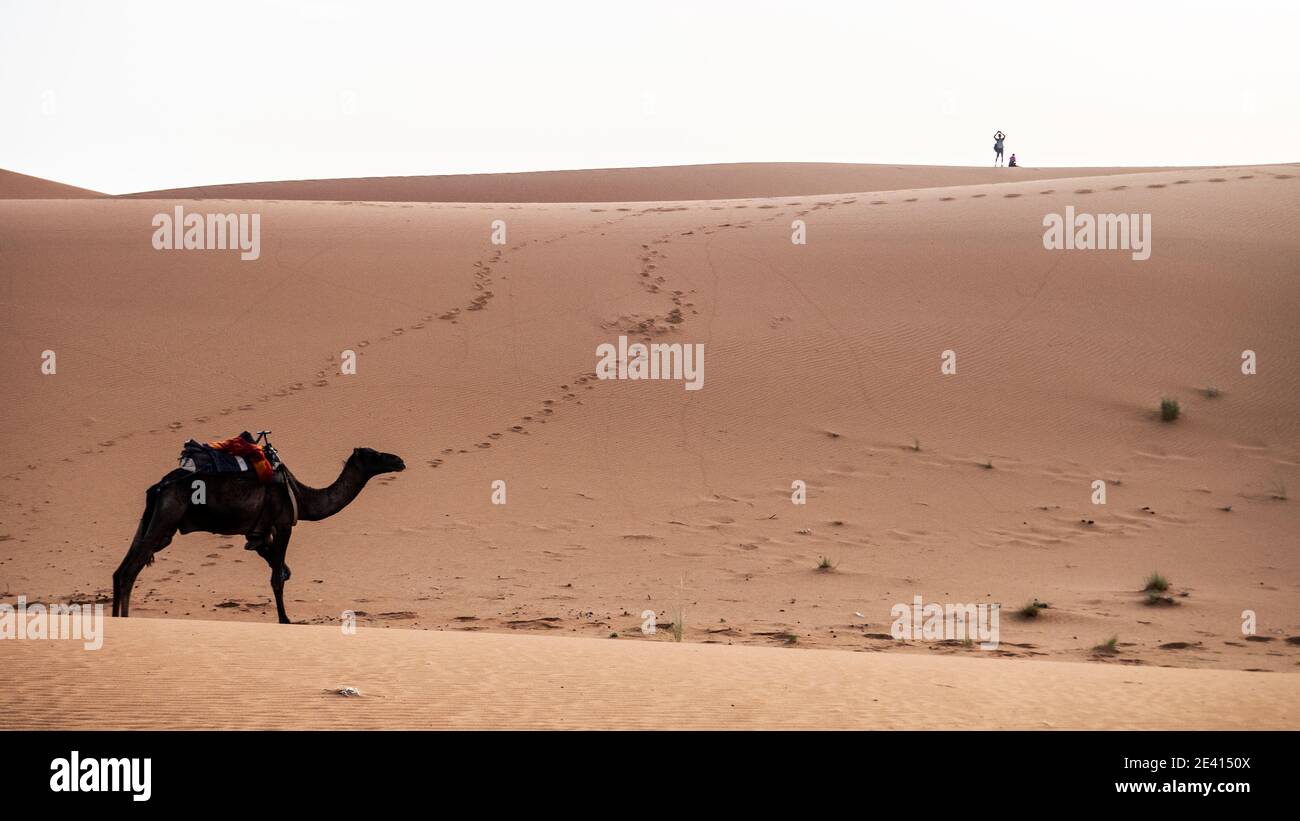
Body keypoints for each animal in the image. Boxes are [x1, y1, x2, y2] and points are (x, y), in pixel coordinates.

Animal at [112, 447, 405, 623]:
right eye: (375, 455)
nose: (399, 460)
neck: (302, 496)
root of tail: (158, 487)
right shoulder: (283, 523)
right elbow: (277, 577)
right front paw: (285, 619)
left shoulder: (257, 533)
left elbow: (280, 568)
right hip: (167, 517)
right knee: (131, 570)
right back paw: (123, 619)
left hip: (152, 520)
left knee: (121, 570)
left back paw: (117, 617)